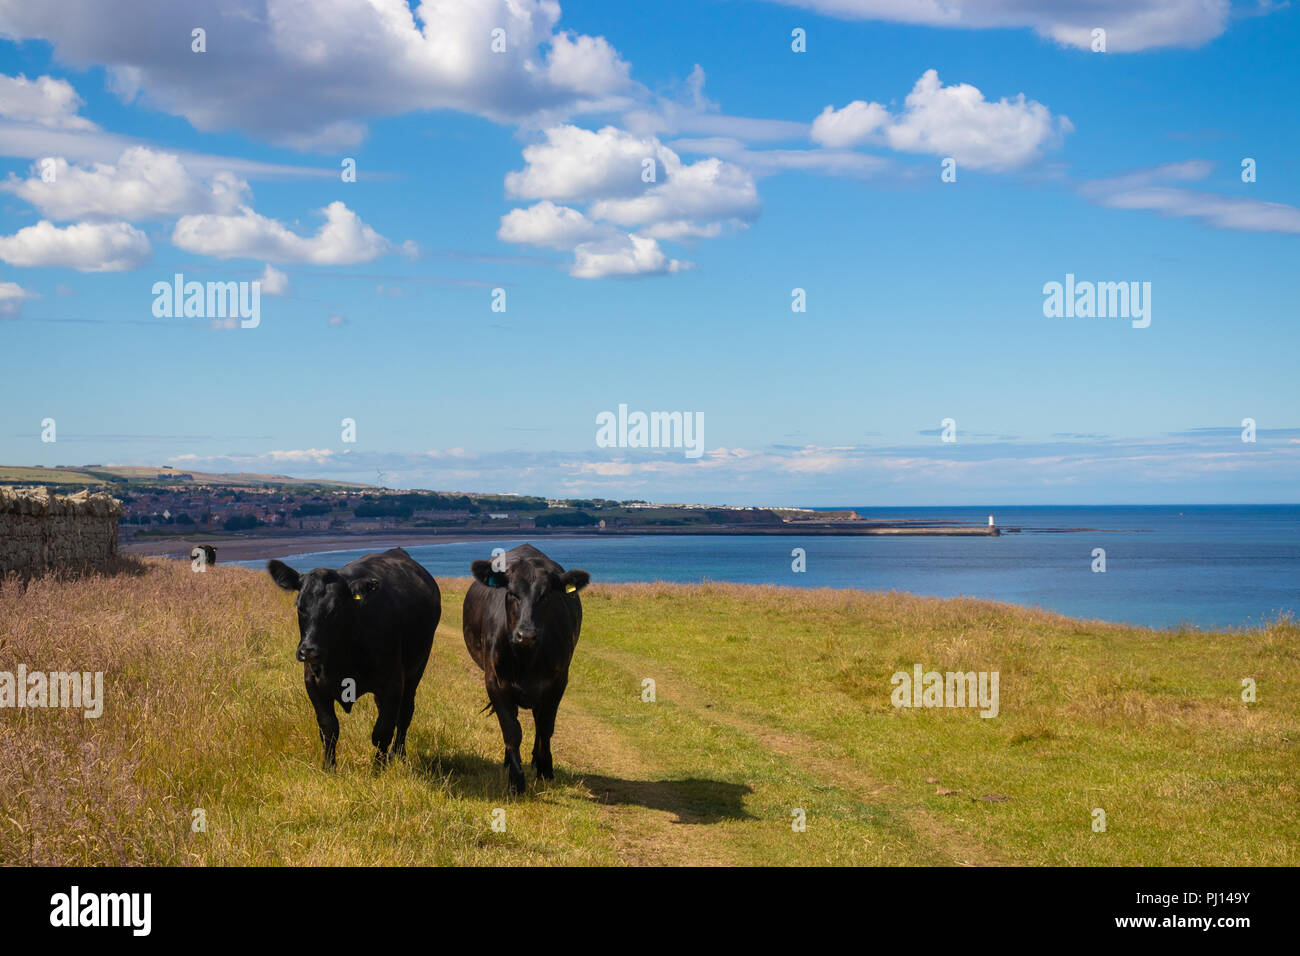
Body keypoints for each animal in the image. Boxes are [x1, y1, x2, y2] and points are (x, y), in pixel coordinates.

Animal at [267, 547, 441, 770]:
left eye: (334, 609)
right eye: (300, 606)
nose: (309, 651)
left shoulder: (393, 682)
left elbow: (382, 731)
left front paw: (378, 769)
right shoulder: (313, 682)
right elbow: (329, 728)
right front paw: (329, 767)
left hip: (416, 669)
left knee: (405, 713)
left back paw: (398, 755)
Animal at [462, 544, 590, 794]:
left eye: (546, 595)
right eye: (512, 593)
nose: (526, 635)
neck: (526, 658)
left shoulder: (558, 682)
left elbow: (545, 726)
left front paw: (545, 769)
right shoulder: (494, 681)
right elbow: (511, 731)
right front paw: (516, 780)